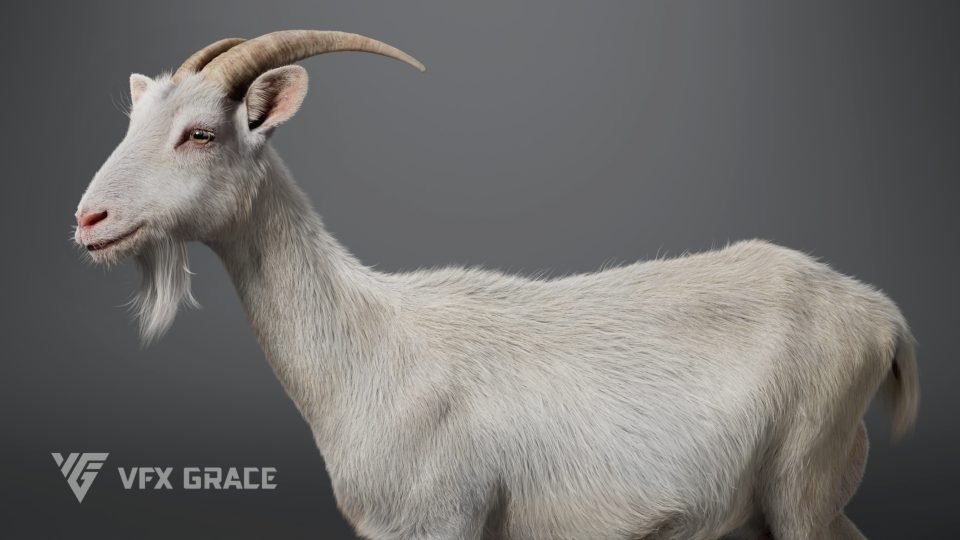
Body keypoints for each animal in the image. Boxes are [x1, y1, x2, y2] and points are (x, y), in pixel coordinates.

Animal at [74, 30, 918, 540]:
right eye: (134, 121)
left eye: (200, 134)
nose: (89, 218)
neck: (366, 345)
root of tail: (881, 316)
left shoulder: (446, 516)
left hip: (803, 472)